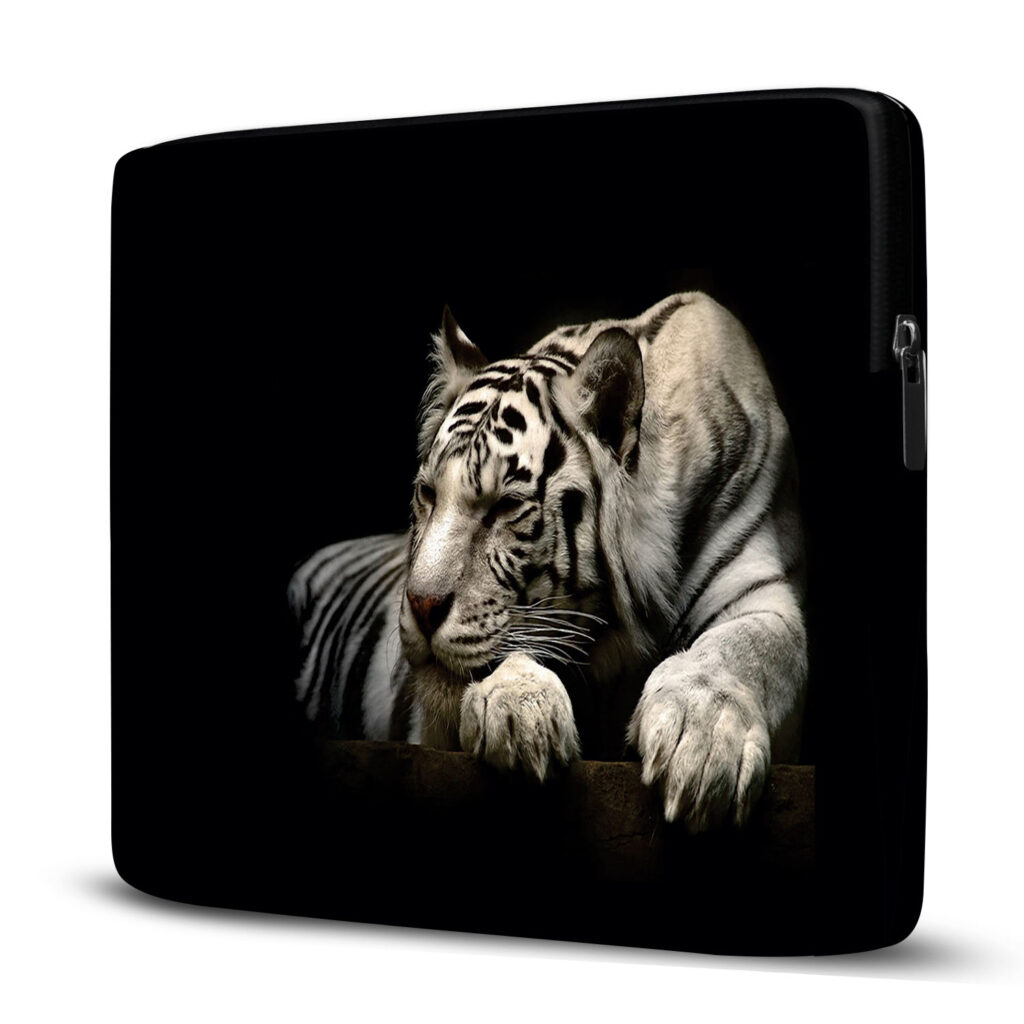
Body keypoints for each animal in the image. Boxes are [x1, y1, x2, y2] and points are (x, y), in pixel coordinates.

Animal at [289, 291, 807, 832]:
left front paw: (702, 742)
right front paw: (519, 710)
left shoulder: (761, 590)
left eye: (505, 507)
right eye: (427, 495)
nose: (421, 606)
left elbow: (745, 649)